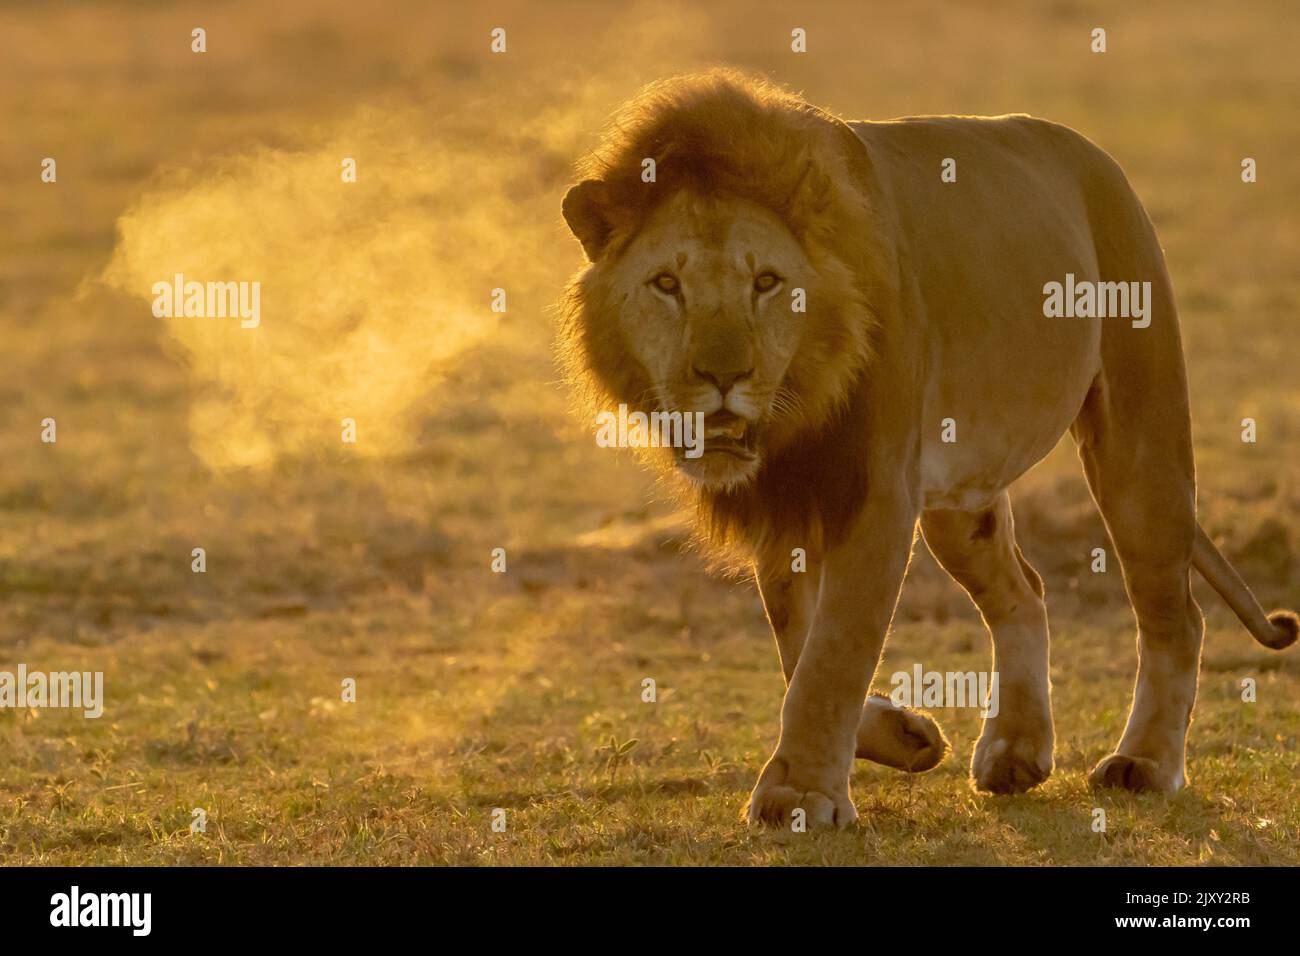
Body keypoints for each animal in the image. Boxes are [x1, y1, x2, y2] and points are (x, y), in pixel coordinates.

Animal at [558, 69, 1297, 828]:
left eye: (766, 282)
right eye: (666, 285)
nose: (723, 376)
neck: (801, 401)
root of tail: (1093, 156)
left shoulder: (876, 489)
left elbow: (833, 651)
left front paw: (801, 796)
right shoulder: (790, 501)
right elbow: (799, 645)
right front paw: (901, 735)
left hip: (1140, 439)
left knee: (1175, 613)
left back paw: (1143, 763)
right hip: (962, 496)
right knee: (1024, 592)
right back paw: (1015, 750)